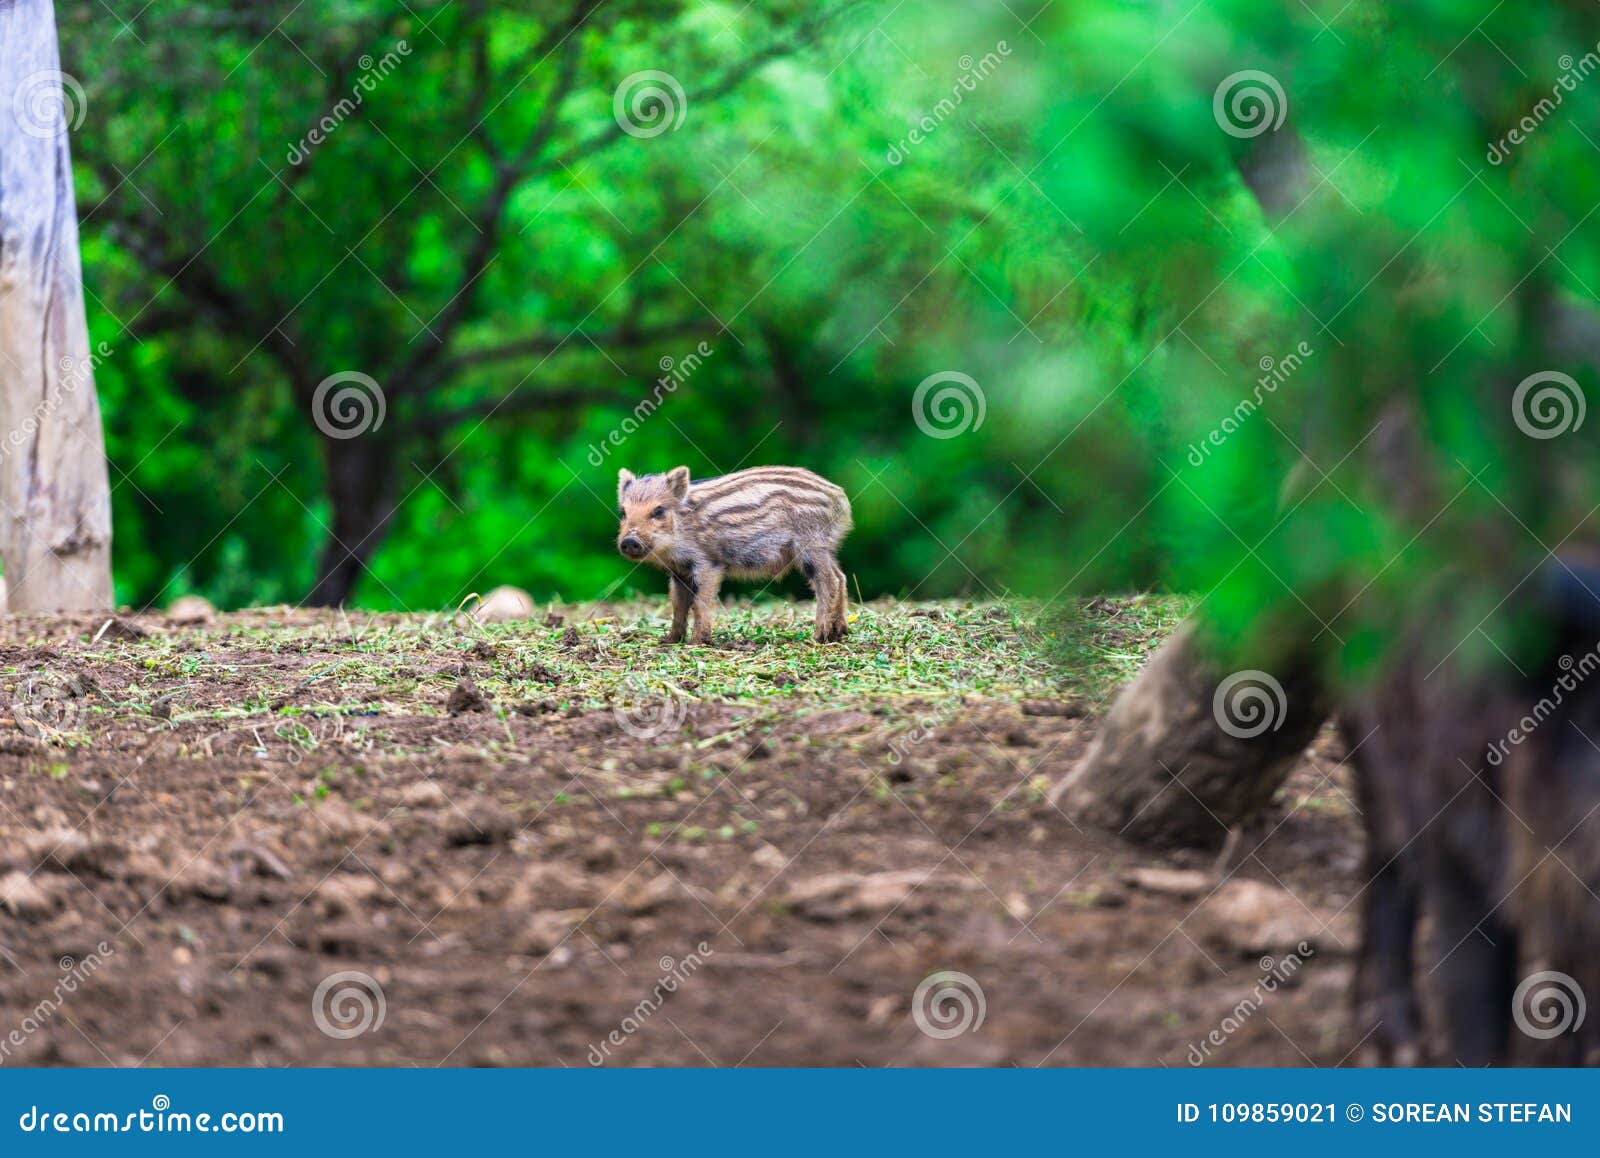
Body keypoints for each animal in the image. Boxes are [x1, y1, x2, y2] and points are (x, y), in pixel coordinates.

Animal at [615, 465, 853, 645]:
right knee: (841, 577)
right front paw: (669, 641)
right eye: (623, 512)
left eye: (658, 511)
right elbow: (677, 604)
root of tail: (840, 496)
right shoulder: (679, 570)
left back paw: (819, 637)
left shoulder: (708, 563)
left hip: (811, 546)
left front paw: (697, 643)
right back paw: (839, 633)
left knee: (828, 581)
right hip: (824, 549)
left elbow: (700, 602)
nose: (629, 541)